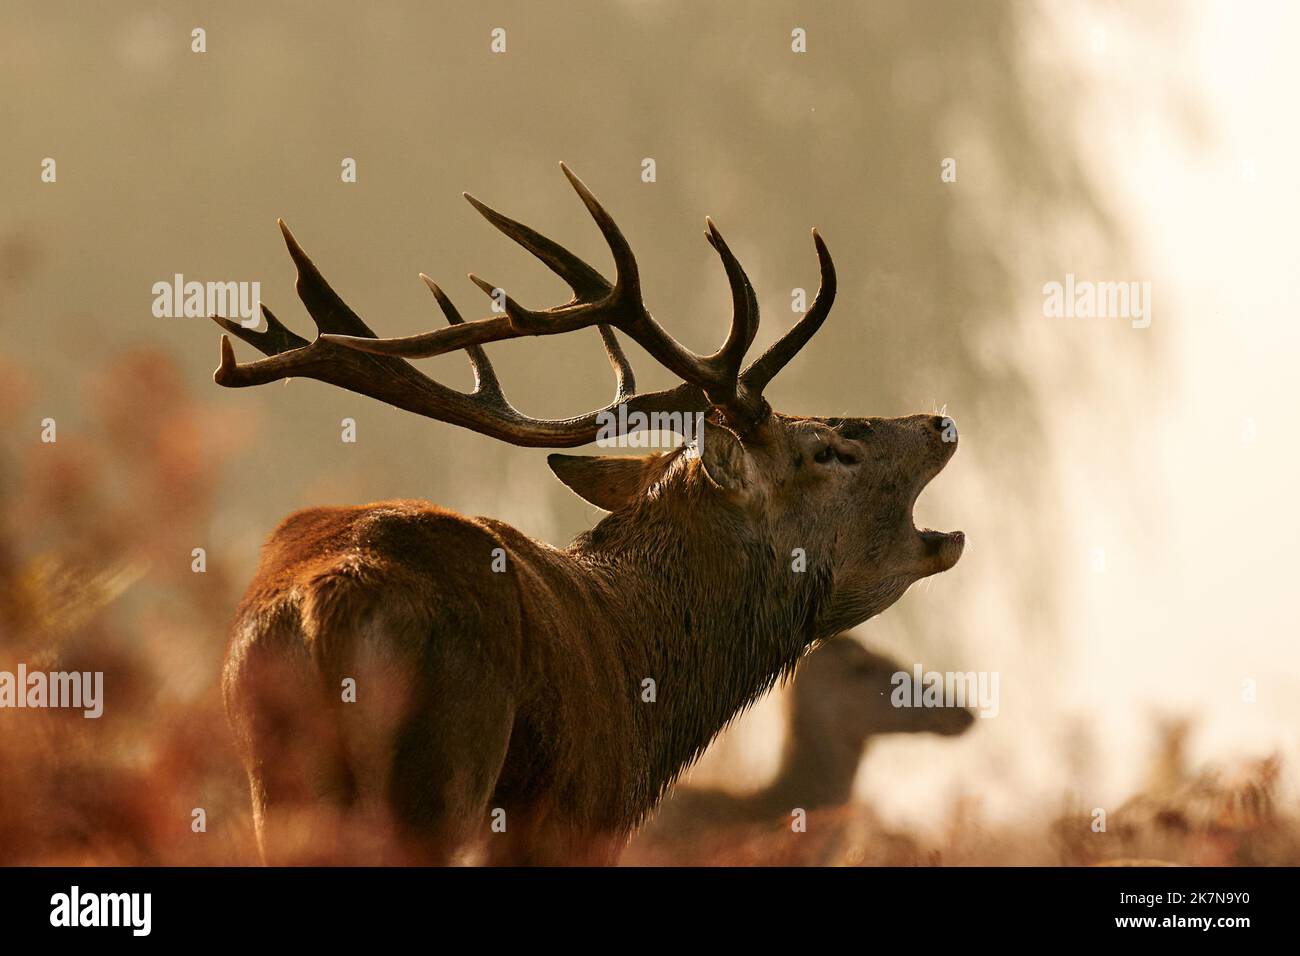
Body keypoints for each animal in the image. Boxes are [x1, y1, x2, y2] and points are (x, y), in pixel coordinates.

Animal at [212, 164, 964, 865]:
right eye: (828, 450)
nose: (939, 422)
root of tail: (325, 605)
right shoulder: (581, 819)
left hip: (276, 791)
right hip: (437, 774)